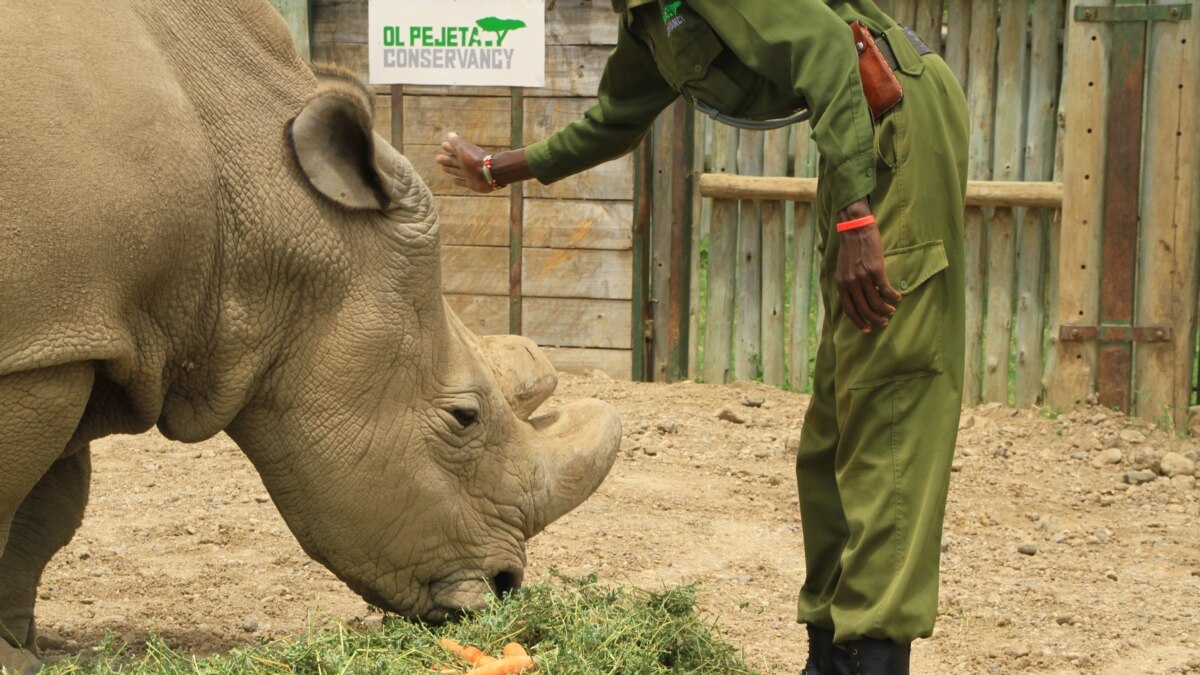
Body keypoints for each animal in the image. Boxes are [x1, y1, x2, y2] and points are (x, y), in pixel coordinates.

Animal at [0, 2, 621, 671]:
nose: (506, 588)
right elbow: (15, 496)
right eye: (464, 417)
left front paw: (21, 651)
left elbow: (49, 510)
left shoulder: (72, 332)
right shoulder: (47, 343)